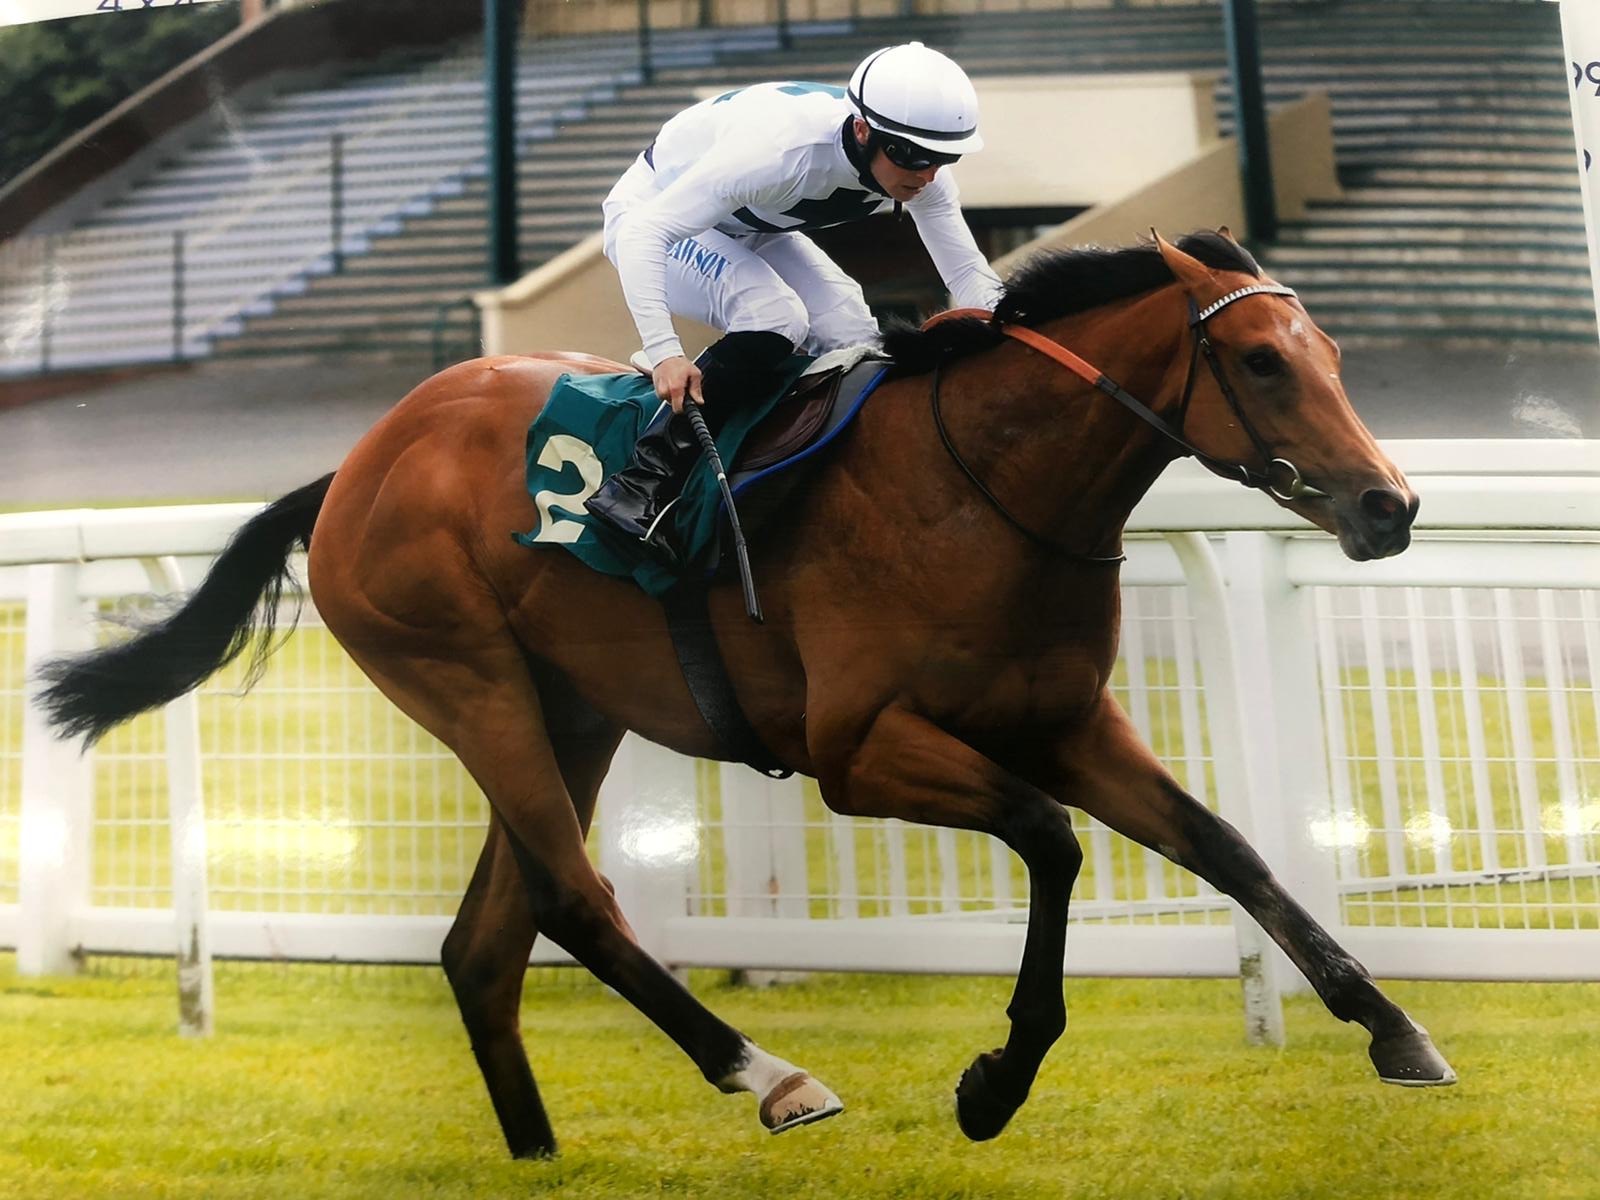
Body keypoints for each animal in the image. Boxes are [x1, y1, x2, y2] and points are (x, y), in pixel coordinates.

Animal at [37, 230, 1455, 1159]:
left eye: (1329, 350)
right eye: (1263, 362)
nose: (1388, 506)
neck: (983, 485)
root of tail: (354, 463)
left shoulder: (1060, 721)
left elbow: (1228, 848)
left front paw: (1392, 1029)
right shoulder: (858, 750)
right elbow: (1049, 842)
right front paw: (994, 1081)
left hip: (572, 710)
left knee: (486, 940)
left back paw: (539, 1153)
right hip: (466, 679)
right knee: (574, 899)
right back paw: (766, 1074)